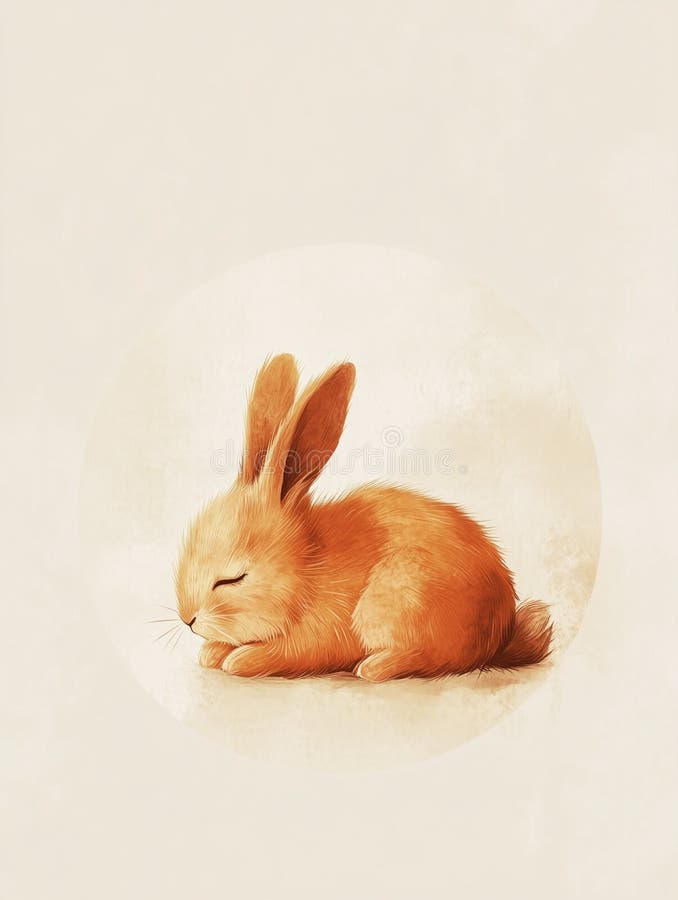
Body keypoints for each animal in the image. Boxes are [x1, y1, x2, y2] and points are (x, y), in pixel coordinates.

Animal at [175, 354, 552, 681]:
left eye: (233, 579)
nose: (187, 619)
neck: (305, 572)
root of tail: (501, 630)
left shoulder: (317, 637)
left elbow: (280, 653)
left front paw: (239, 659)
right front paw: (212, 652)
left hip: (397, 601)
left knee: (436, 659)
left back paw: (374, 666)